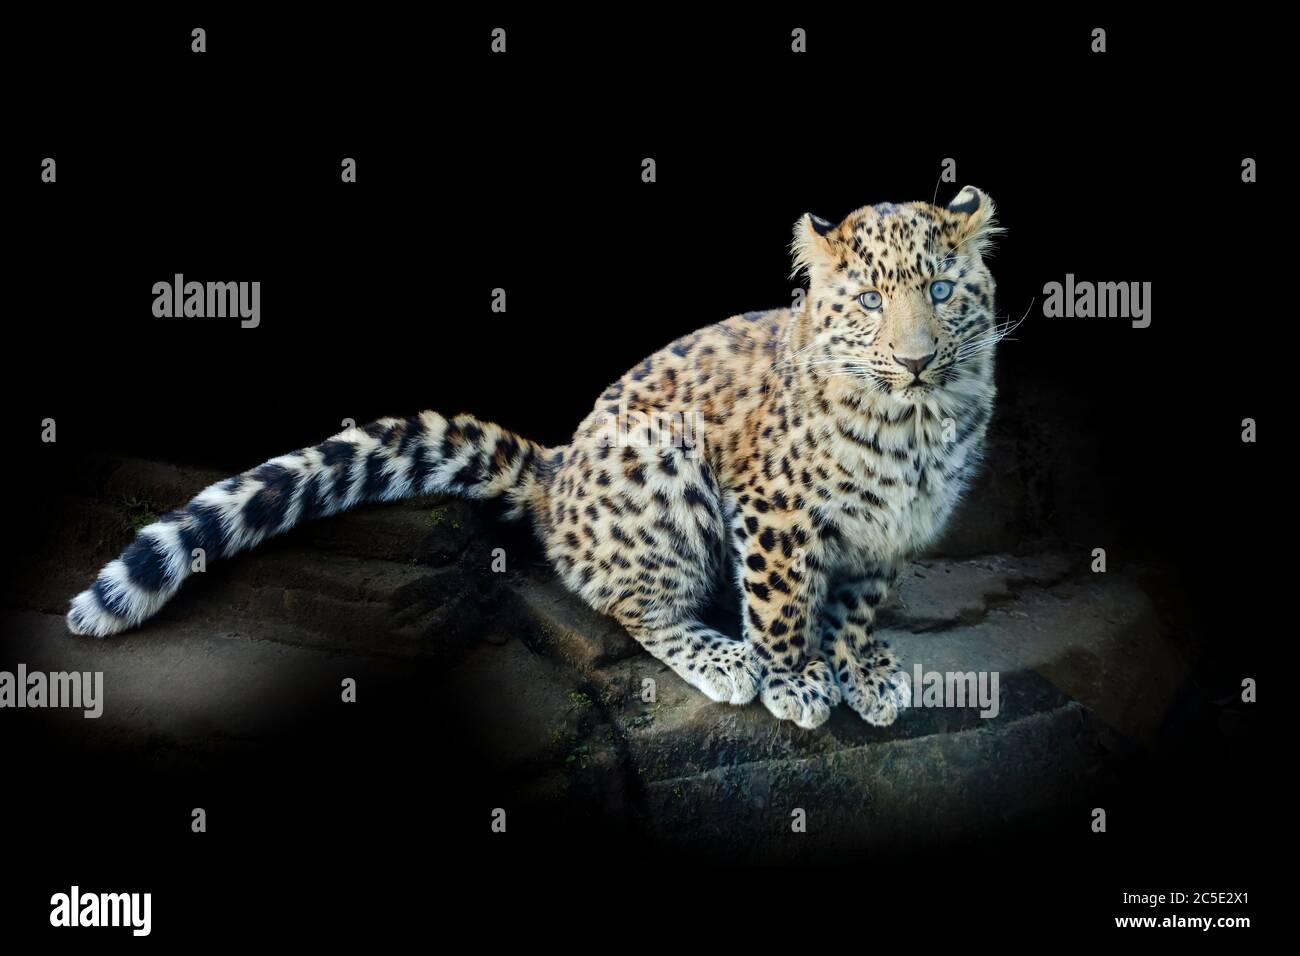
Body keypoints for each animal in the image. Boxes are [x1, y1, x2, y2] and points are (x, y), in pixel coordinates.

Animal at [67, 184, 1004, 730]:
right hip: (660, 465)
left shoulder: (890, 530)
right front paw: (793, 679)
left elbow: (855, 607)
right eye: (871, 301)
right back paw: (724, 658)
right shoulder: (775, 509)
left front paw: (862, 668)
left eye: (942, 291)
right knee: (632, 604)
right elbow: (782, 603)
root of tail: (559, 469)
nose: (917, 357)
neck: (920, 422)